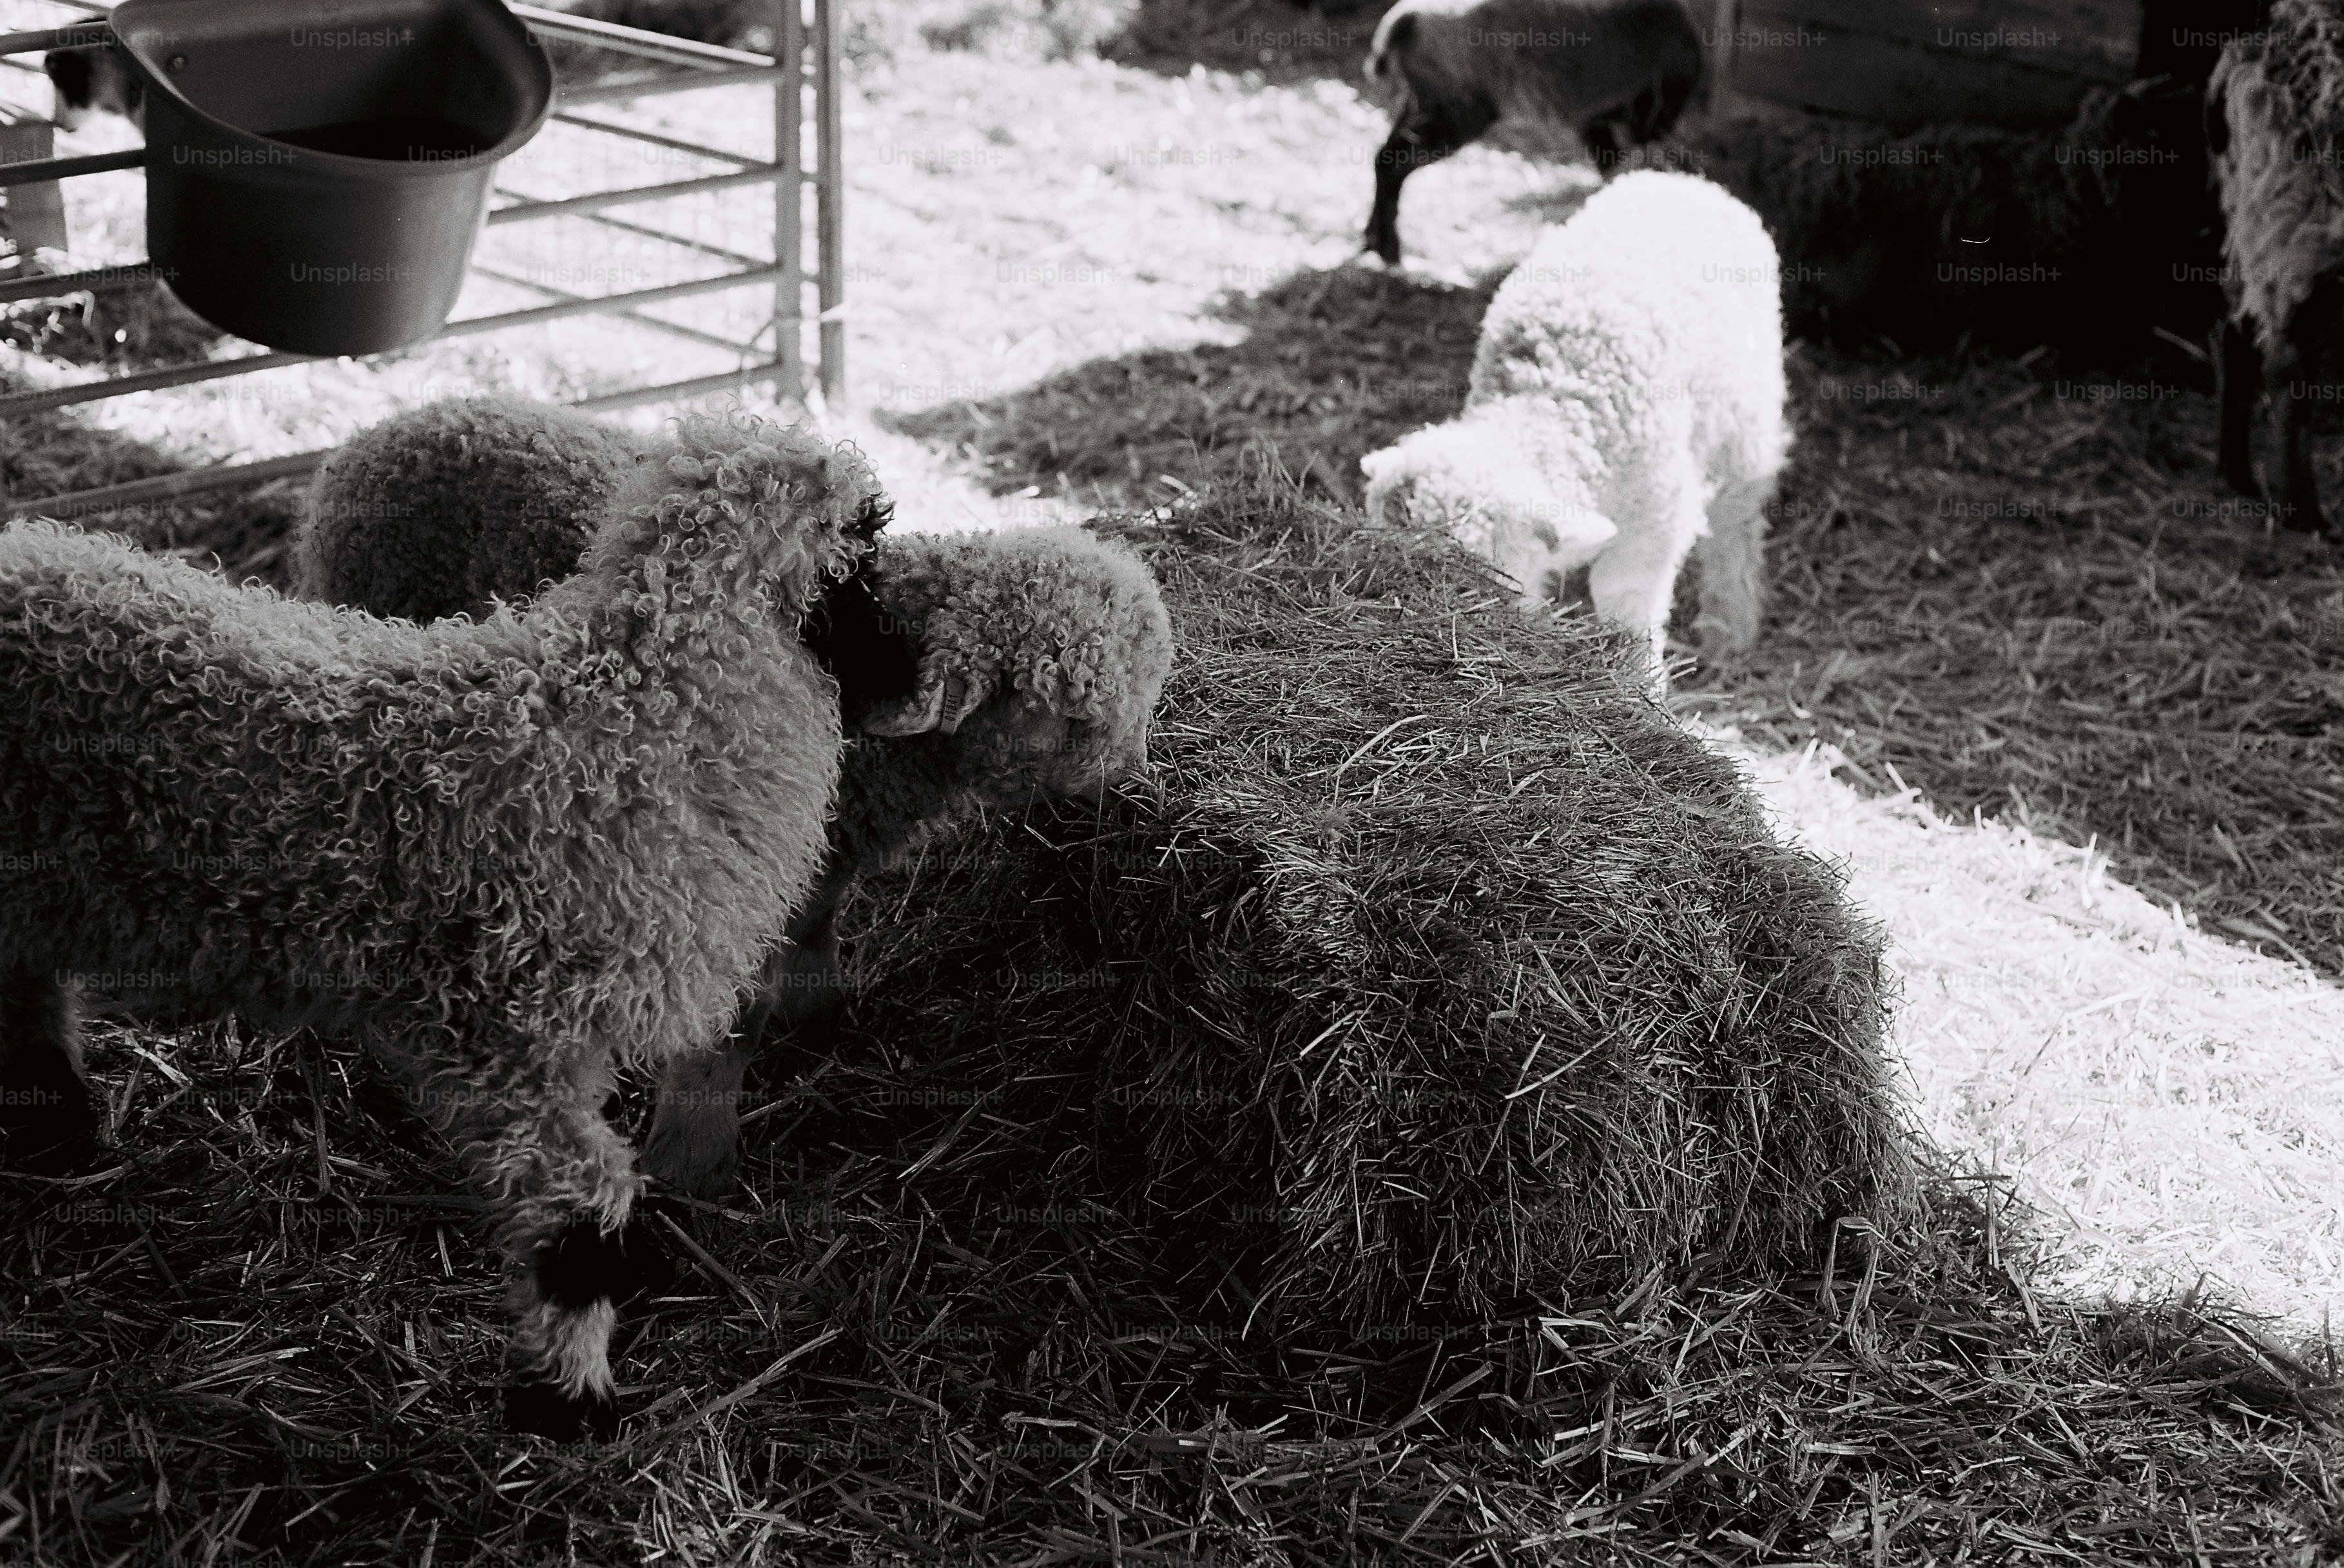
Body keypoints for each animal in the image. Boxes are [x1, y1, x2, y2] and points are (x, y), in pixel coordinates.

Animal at [1, 412, 941, 1439]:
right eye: (861, 569)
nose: (914, 676)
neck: (638, 718)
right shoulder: (516, 1041)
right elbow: (580, 1219)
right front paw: (568, 1406)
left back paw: (60, 1137)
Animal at [294, 397, 1178, 1197]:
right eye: (1065, 712)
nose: (1135, 779)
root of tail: (383, 432)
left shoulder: (820, 856)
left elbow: (814, 936)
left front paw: (819, 1019)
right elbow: (727, 1024)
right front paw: (693, 1160)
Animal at [1360, 170, 1787, 689]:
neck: (1552, 398)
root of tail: (1684, 180)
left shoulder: (1657, 513)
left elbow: (1626, 600)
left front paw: (1640, 686)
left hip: (1747, 418)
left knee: (1737, 517)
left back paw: (1729, 625)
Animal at [1361, 0, 1707, 266]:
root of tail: (1408, 20)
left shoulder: (1598, 120)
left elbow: (1615, 167)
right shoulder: (1649, 110)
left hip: (1420, 105)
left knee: (1384, 158)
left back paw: (1373, 243)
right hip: (1455, 112)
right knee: (1395, 163)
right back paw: (1389, 250)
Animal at [2207, 0, 2344, 540]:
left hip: (2251, 206)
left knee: (2237, 329)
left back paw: (2237, 474)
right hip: (2310, 212)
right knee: (2288, 362)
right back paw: (2300, 512)